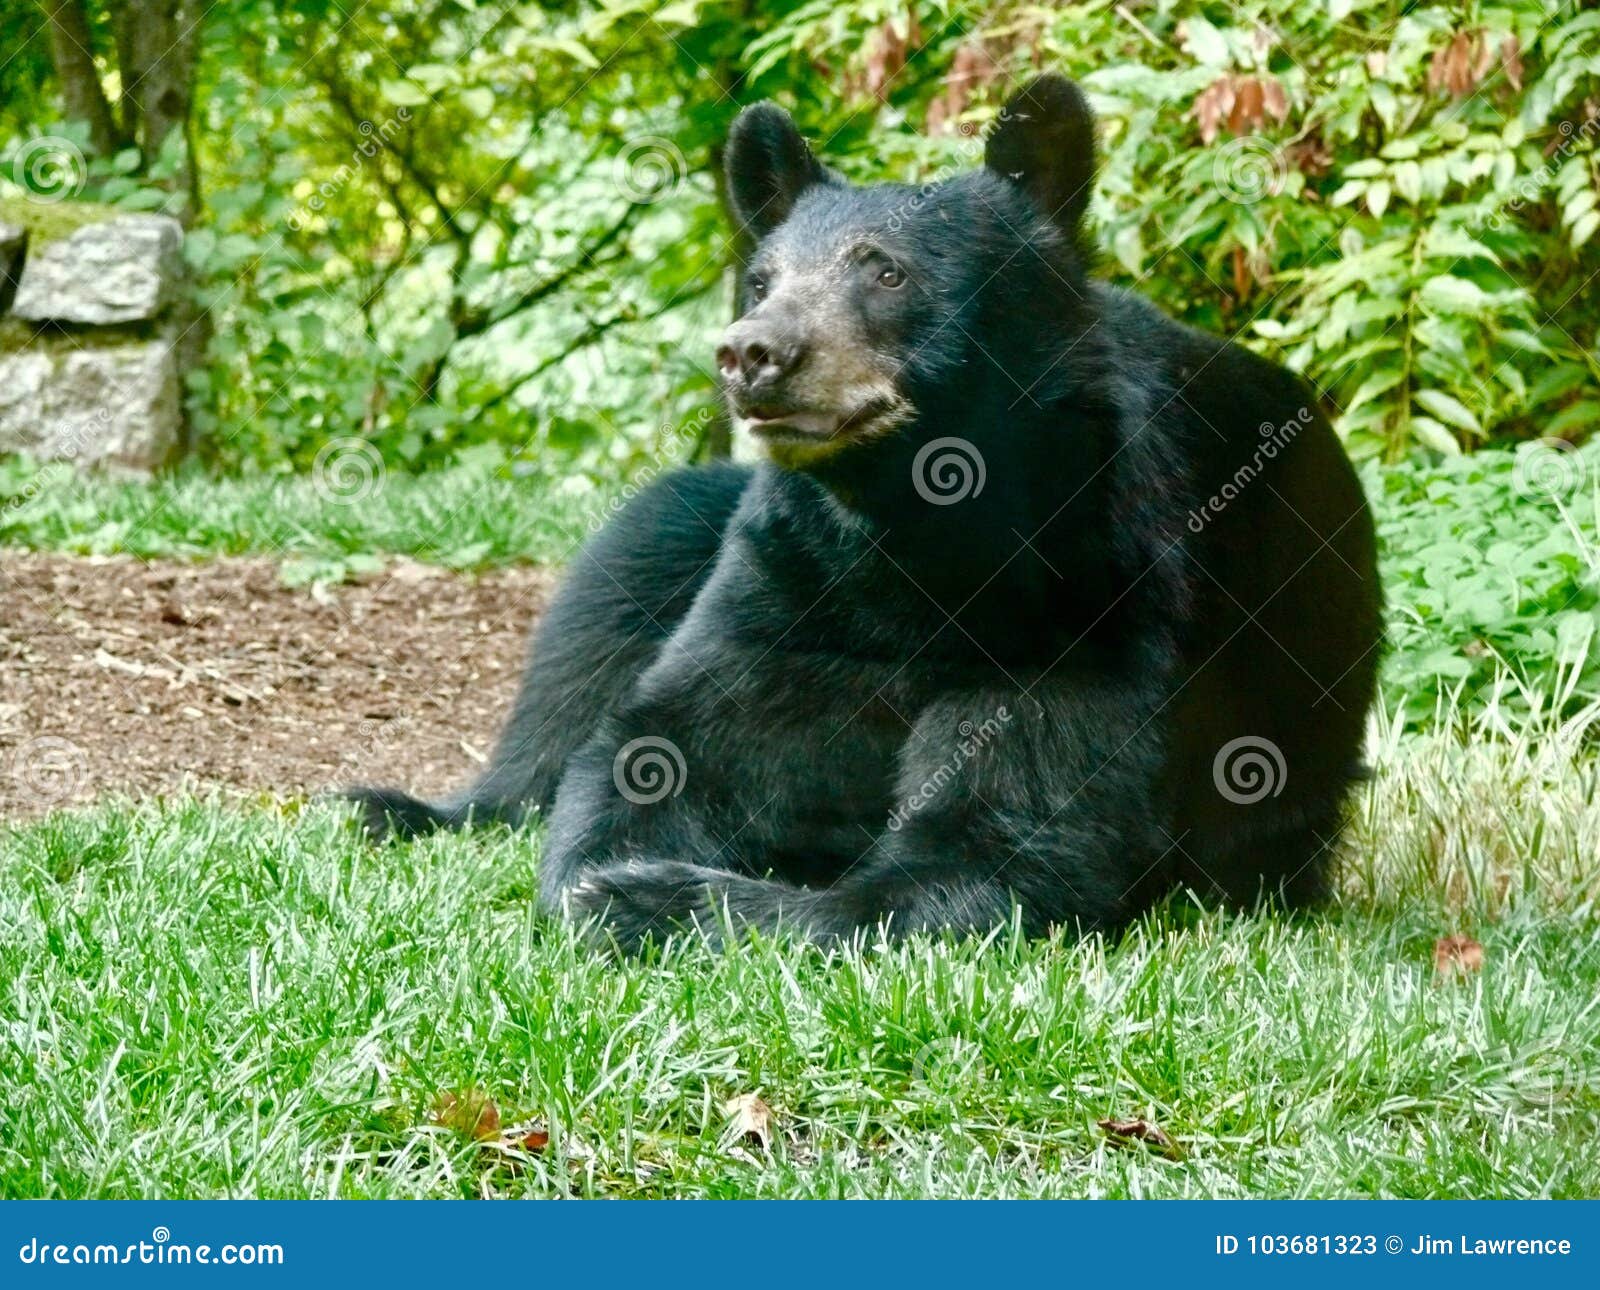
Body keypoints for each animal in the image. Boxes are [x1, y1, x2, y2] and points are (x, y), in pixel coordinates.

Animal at [349, 75, 1382, 951]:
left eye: (884, 272)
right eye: (763, 279)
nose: (752, 353)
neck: (914, 532)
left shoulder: (1108, 592)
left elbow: (1004, 836)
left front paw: (656, 899)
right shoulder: (791, 584)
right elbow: (660, 743)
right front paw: (598, 871)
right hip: (686, 512)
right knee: (595, 623)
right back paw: (404, 808)